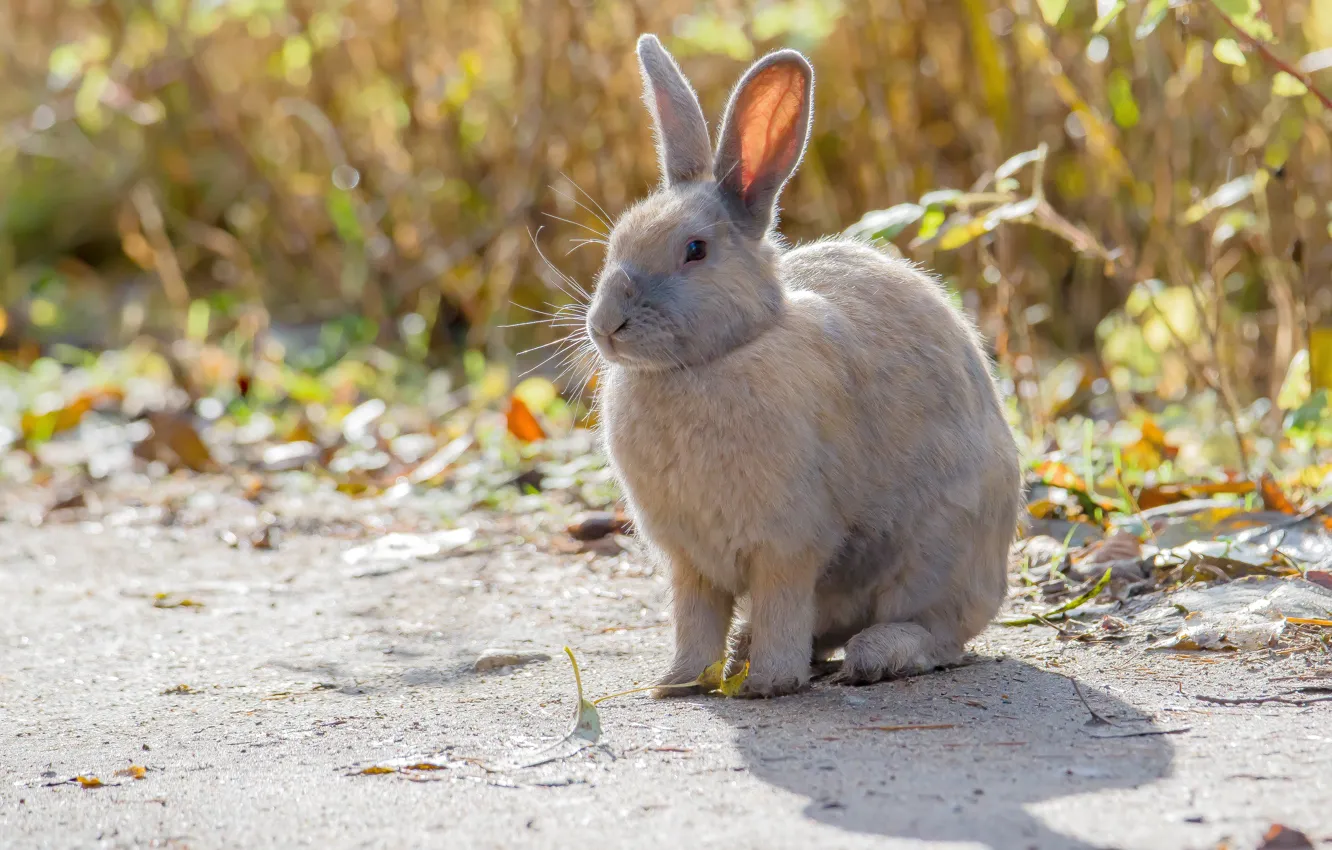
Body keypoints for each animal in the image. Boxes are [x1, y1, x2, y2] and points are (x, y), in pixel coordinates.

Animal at [584, 34, 1021, 698]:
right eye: (617, 242)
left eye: (695, 250)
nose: (607, 326)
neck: (711, 360)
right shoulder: (690, 562)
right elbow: (695, 619)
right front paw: (680, 682)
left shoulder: (787, 545)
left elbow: (782, 605)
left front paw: (771, 683)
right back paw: (742, 655)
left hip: (937, 555)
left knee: (938, 635)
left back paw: (873, 656)